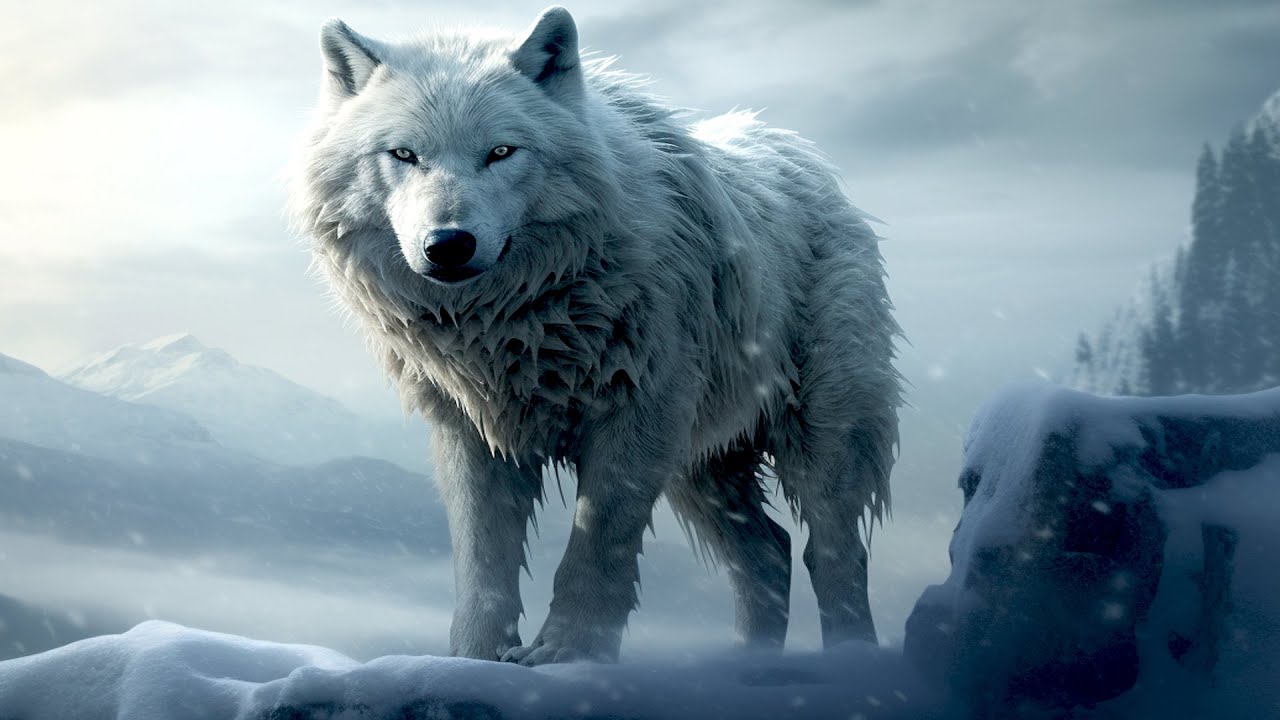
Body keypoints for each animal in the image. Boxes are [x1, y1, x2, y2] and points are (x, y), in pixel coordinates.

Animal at [291, 7, 902, 666]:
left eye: (500, 152)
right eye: (404, 154)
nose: (448, 244)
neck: (516, 321)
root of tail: (802, 154)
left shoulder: (637, 414)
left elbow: (598, 543)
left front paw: (566, 654)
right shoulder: (471, 429)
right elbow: (482, 566)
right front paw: (469, 662)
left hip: (817, 435)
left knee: (834, 549)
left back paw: (851, 661)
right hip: (701, 465)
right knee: (769, 553)